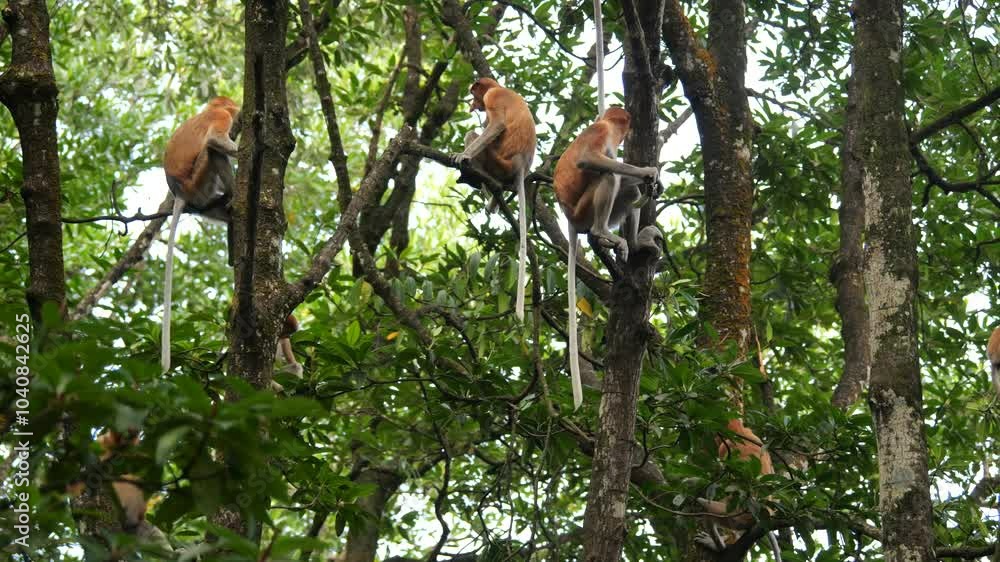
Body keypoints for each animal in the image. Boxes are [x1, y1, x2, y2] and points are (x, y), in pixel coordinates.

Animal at [160, 96, 241, 373]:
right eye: (231, 108)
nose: (238, 112)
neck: (208, 109)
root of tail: (179, 192)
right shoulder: (220, 117)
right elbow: (216, 140)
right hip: (200, 182)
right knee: (213, 152)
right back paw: (234, 197)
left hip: (201, 201)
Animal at [455, 77, 536, 322]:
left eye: (474, 93)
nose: (472, 104)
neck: (498, 86)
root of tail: (520, 166)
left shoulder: (493, 97)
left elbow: (496, 126)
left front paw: (463, 155)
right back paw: (494, 200)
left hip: (497, 162)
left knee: (473, 134)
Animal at [552, 106, 660, 409]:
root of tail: (569, 219)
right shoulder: (600, 132)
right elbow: (591, 160)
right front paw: (649, 172)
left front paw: (652, 183)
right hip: (584, 210)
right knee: (608, 176)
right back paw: (603, 233)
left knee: (629, 188)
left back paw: (636, 244)